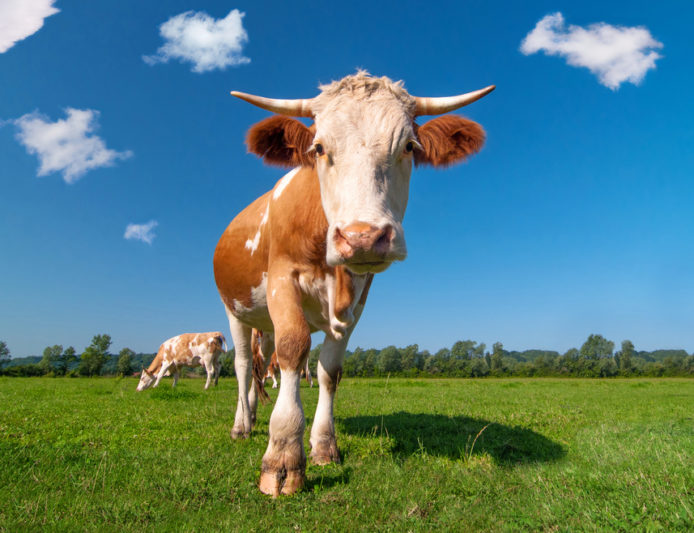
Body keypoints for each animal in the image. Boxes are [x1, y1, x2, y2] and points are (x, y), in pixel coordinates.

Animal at [213, 71, 493, 495]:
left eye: (409, 146)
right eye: (318, 148)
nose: (363, 237)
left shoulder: (358, 298)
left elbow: (329, 370)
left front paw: (324, 446)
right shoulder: (282, 279)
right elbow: (294, 348)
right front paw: (282, 455)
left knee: (261, 364)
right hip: (236, 311)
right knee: (244, 364)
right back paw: (242, 425)